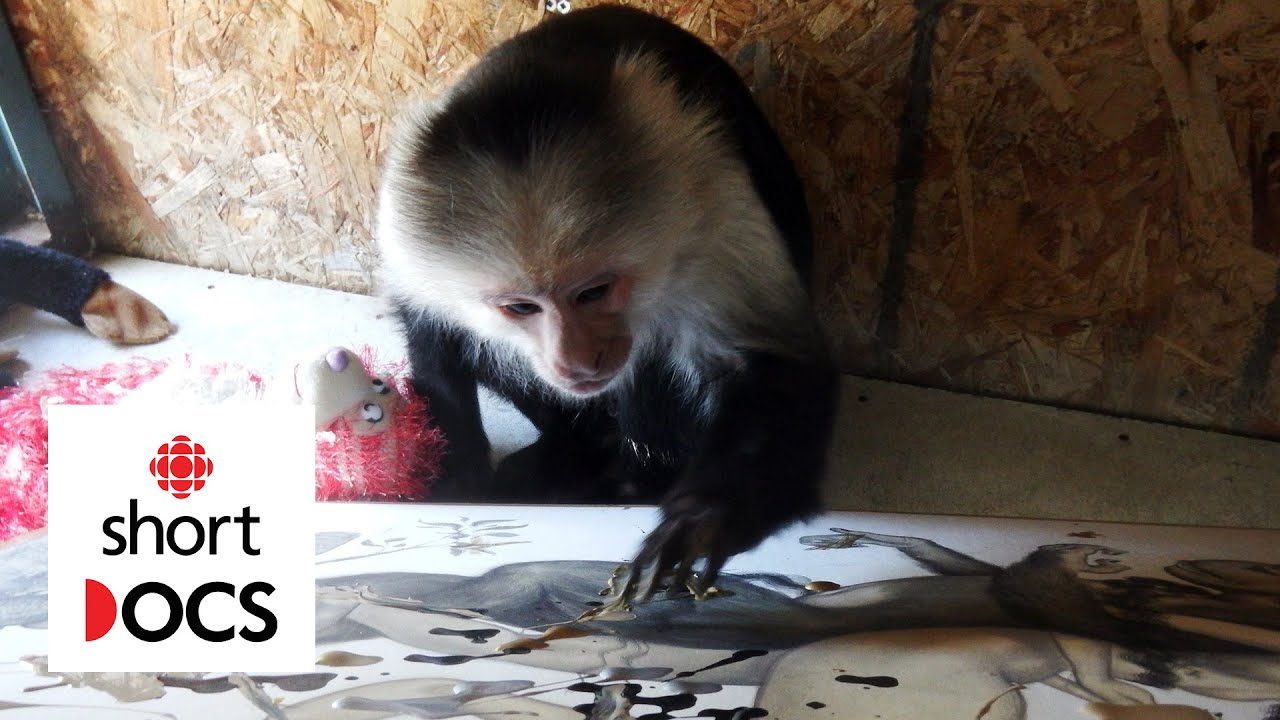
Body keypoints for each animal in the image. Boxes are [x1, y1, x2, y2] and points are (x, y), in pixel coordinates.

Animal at [375, 4, 839, 600]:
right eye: (522, 308)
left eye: (593, 292)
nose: (575, 359)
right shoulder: (412, 230)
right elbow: (431, 327)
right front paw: (457, 479)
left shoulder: (711, 193)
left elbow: (772, 364)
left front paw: (702, 519)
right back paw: (572, 448)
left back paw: (629, 477)